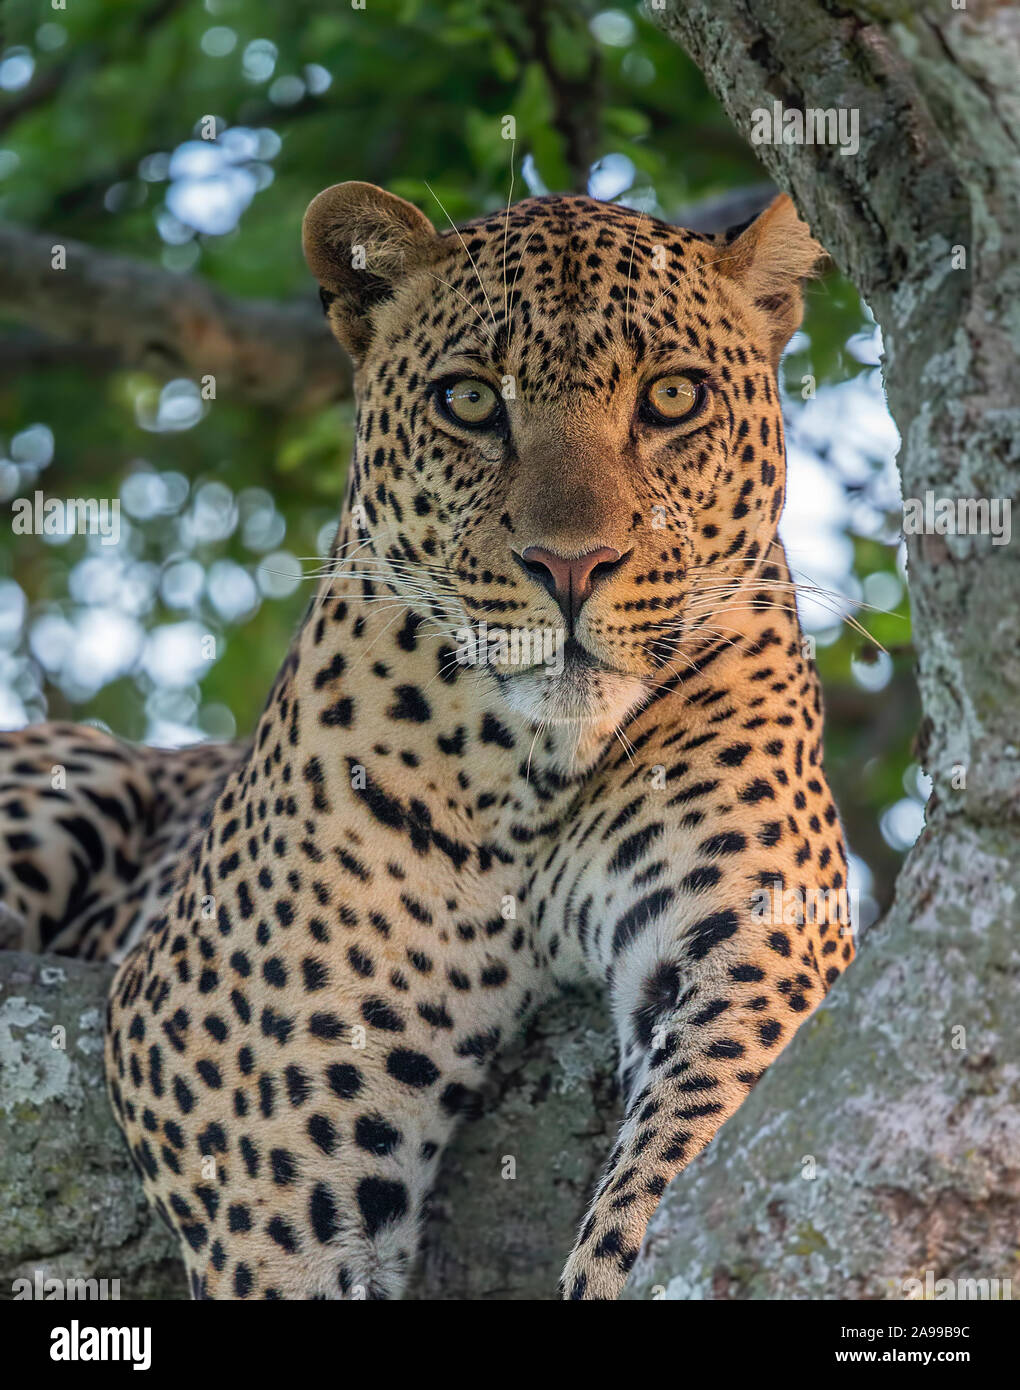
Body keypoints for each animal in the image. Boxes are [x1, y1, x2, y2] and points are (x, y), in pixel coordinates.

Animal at [0, 181, 854, 1300]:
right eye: (470, 402)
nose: (571, 566)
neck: (539, 768)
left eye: (672, 397)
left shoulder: (760, 931)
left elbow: (693, 1152)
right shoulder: (240, 1061)